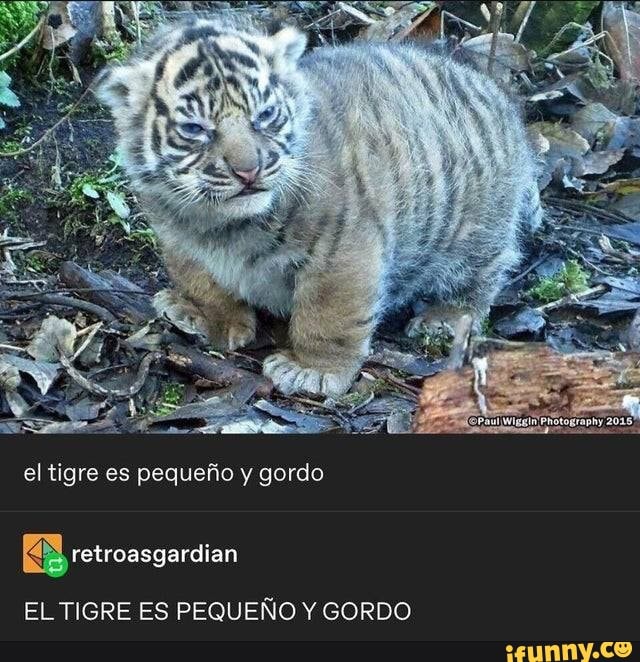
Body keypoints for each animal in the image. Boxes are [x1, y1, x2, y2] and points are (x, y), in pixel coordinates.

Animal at [96, 15, 542, 398]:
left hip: (476, 231)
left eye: (265, 115)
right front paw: (205, 316)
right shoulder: (179, 240)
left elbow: (328, 315)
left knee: (483, 275)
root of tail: (504, 104)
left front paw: (313, 371)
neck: (218, 224)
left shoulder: (342, 251)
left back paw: (445, 319)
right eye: (195, 129)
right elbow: (202, 281)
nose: (248, 171)